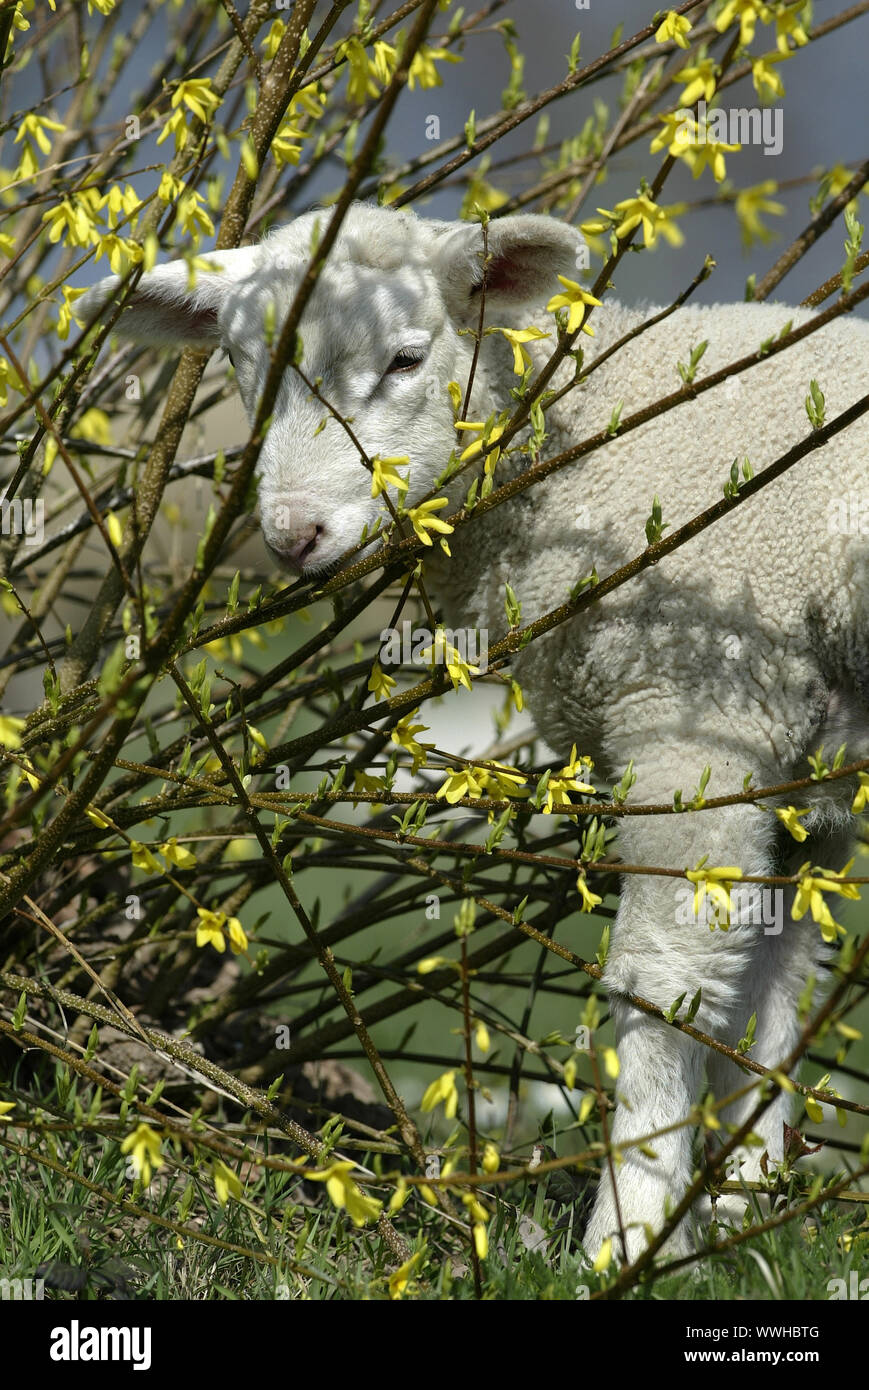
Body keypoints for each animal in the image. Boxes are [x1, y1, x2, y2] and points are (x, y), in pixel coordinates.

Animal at [80, 203, 869, 1262]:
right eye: (244, 365)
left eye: (408, 359)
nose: (293, 536)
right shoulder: (793, 765)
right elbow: (769, 997)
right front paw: (740, 1214)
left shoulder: (699, 724)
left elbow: (664, 990)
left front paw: (630, 1234)